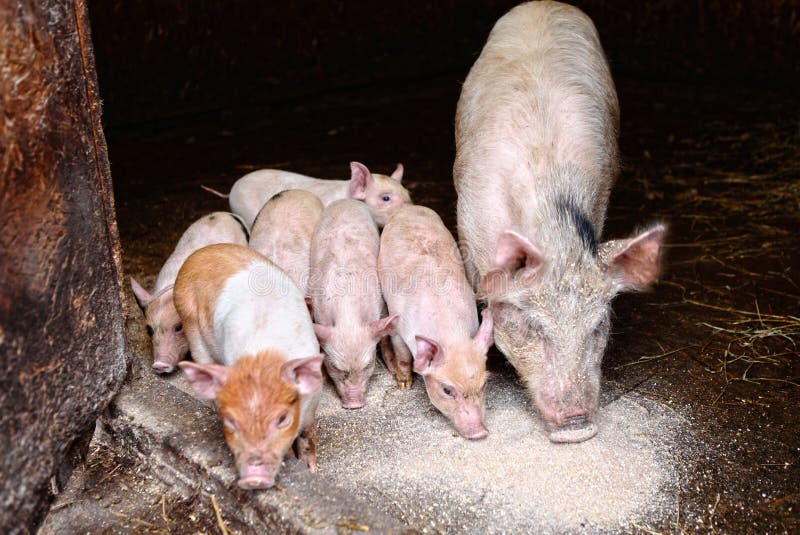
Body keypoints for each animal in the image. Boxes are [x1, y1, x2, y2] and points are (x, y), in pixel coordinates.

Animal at [173, 244, 323, 489]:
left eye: (282, 418)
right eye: (231, 421)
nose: (254, 478)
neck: (263, 358)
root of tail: (197, 254)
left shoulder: (313, 400)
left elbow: (307, 436)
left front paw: (312, 470)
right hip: (192, 328)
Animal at [308, 199, 398, 409]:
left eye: (369, 364)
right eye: (334, 366)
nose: (354, 404)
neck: (348, 316)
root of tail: (346, 201)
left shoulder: (380, 306)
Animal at [379, 206, 494, 440]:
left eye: (485, 384)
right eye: (447, 390)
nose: (479, 433)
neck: (451, 335)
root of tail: (408, 208)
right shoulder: (399, 326)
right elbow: (403, 356)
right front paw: (404, 384)